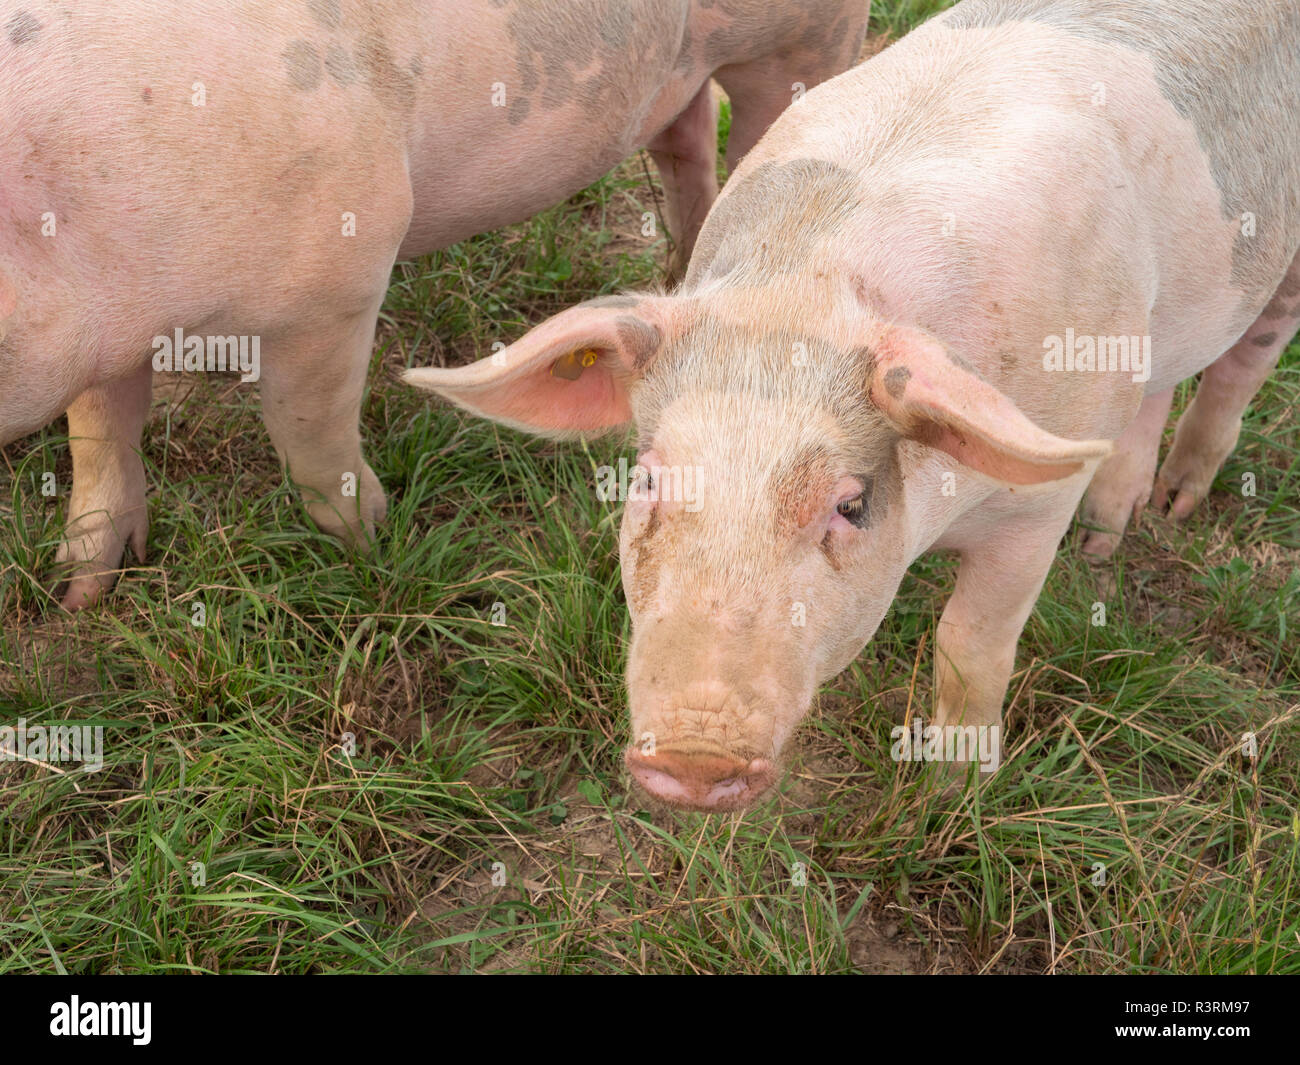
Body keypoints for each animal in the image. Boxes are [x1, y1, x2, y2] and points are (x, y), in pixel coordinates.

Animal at [0, 0, 867, 609]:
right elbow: (100, 433)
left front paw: (367, 542)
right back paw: (678, 274)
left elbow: (304, 427)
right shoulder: (108, 329)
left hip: (807, 34)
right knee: (685, 138)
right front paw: (81, 590)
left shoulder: (340, 276)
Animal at [406, 0, 1300, 810]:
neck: (805, 293)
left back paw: (1173, 507)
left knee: (1244, 358)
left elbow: (969, 643)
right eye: (649, 481)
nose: (694, 756)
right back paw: (1109, 537)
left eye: (851, 503)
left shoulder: (1037, 504)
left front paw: (955, 794)